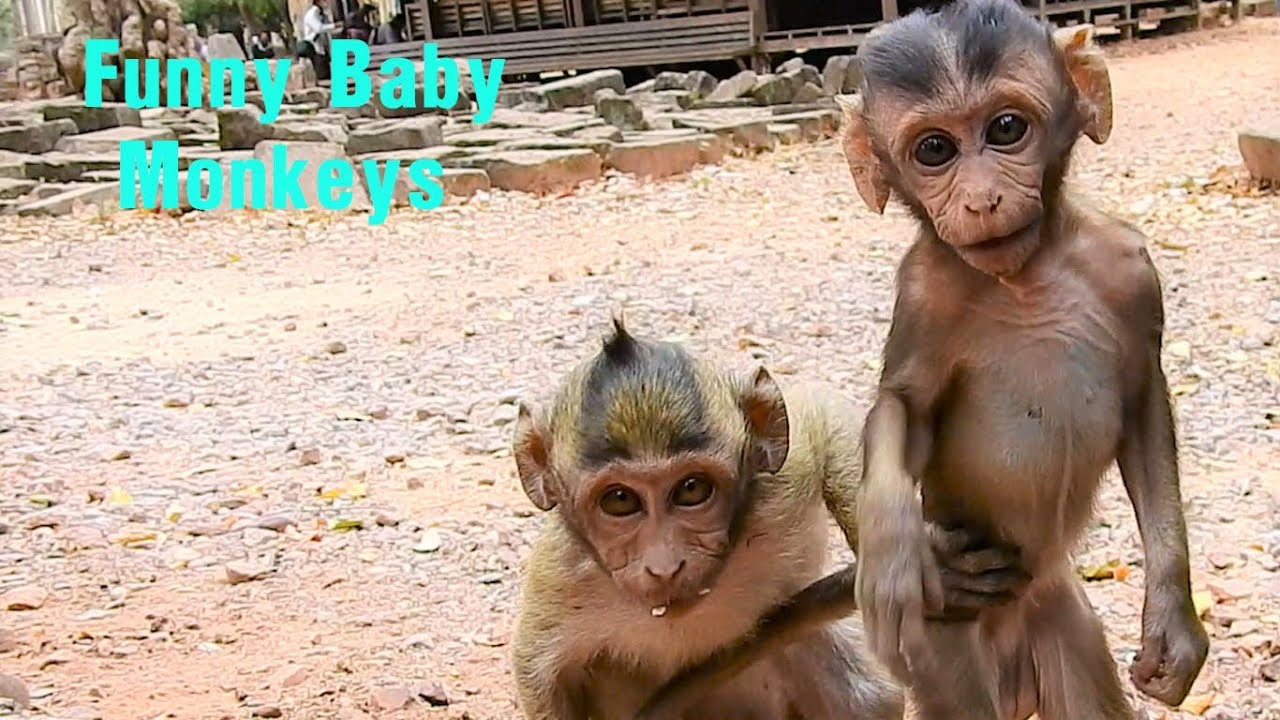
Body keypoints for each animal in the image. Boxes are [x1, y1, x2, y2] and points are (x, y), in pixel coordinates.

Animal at [510, 318, 1030, 720]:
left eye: (691, 490)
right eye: (619, 501)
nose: (665, 565)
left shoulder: (783, 477)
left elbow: (824, 416)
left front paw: (903, 564)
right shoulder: (563, 578)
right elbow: (539, 674)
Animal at [634, 4, 1210, 720]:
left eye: (1007, 129)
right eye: (934, 150)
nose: (982, 200)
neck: (1025, 280)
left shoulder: (1130, 270)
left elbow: (1143, 410)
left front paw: (1174, 623)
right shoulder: (924, 294)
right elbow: (901, 407)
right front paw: (891, 549)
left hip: (1059, 617)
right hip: (942, 649)